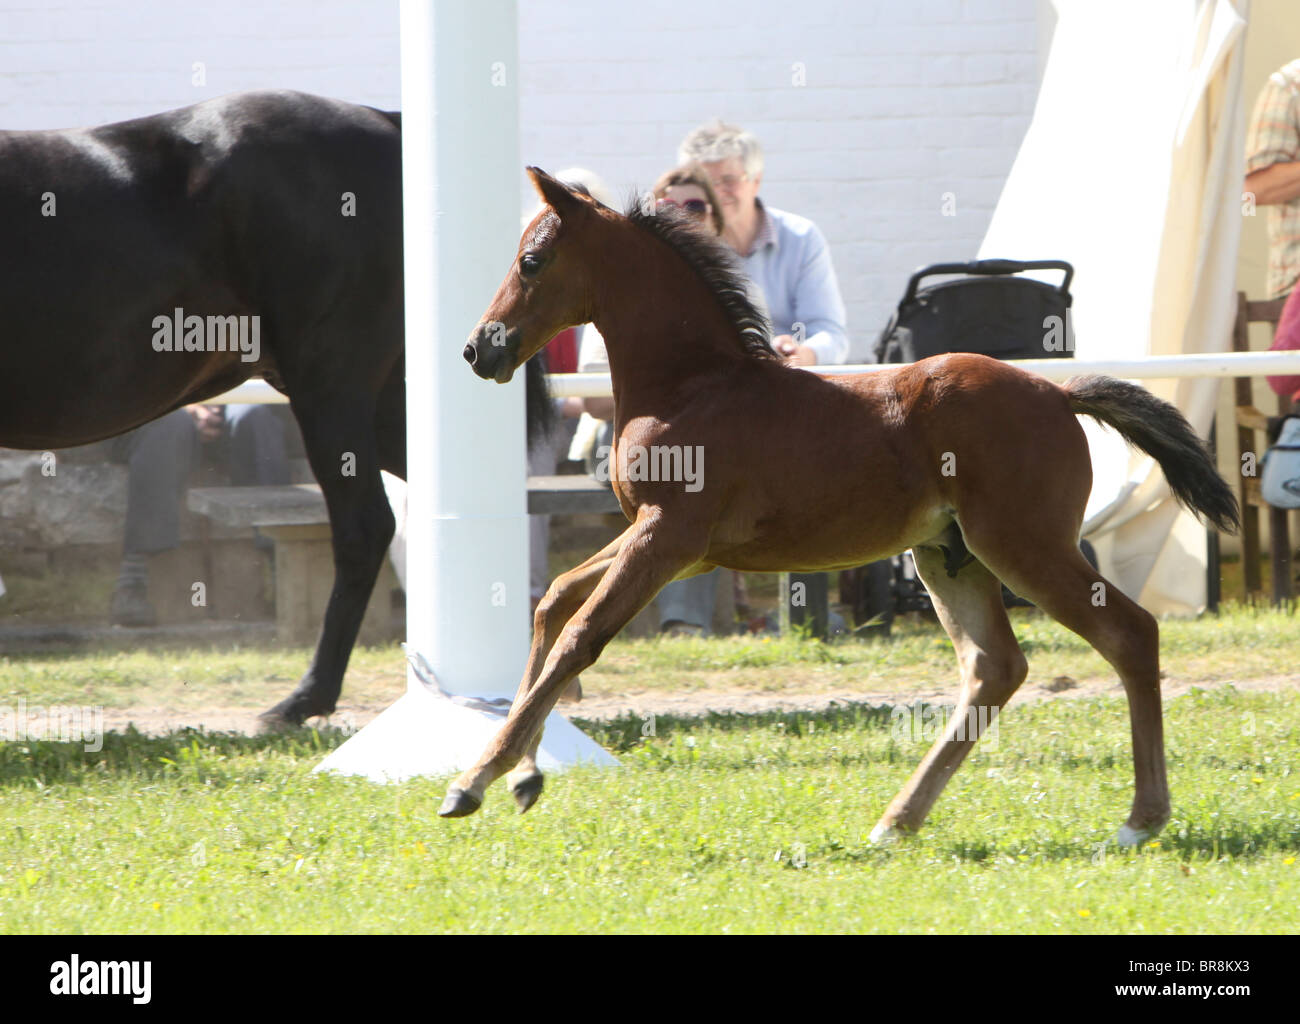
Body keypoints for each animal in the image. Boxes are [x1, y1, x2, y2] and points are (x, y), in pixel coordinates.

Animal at [445, 167, 1240, 849]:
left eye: (533, 260)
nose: (479, 349)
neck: (693, 385)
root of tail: (1059, 391)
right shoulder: (669, 542)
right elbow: (554, 601)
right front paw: (523, 775)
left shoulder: (669, 536)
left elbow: (581, 633)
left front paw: (474, 780)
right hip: (948, 556)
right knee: (995, 669)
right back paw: (897, 821)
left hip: (1025, 547)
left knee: (1129, 635)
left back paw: (1140, 819)